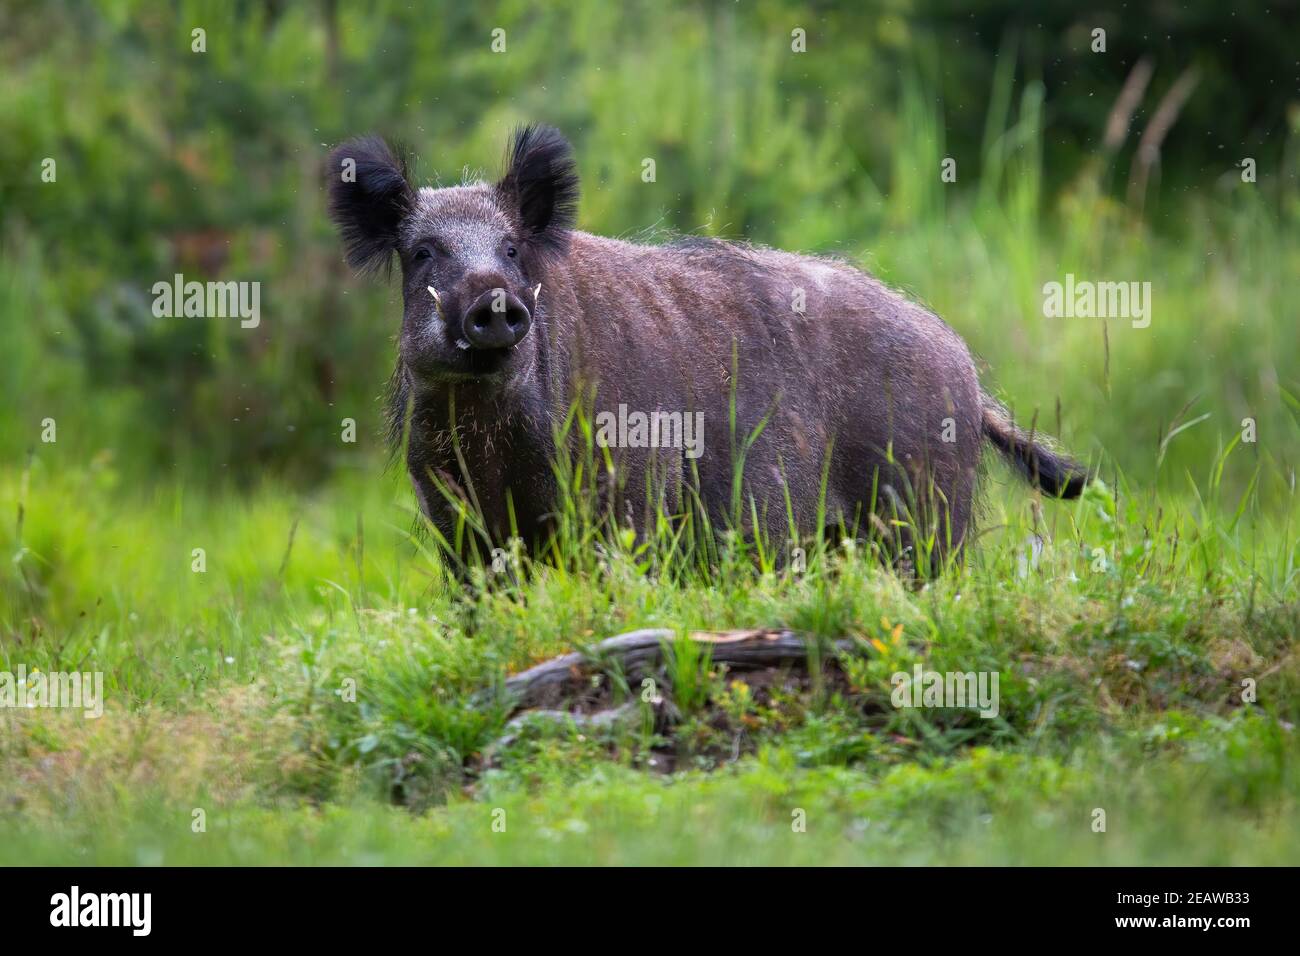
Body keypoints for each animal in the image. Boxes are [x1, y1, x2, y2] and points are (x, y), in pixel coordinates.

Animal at [327, 125, 1087, 571]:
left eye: (511, 248)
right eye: (422, 252)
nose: (493, 303)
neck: (488, 434)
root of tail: (967, 371)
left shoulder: (624, 498)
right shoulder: (450, 516)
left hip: (922, 511)